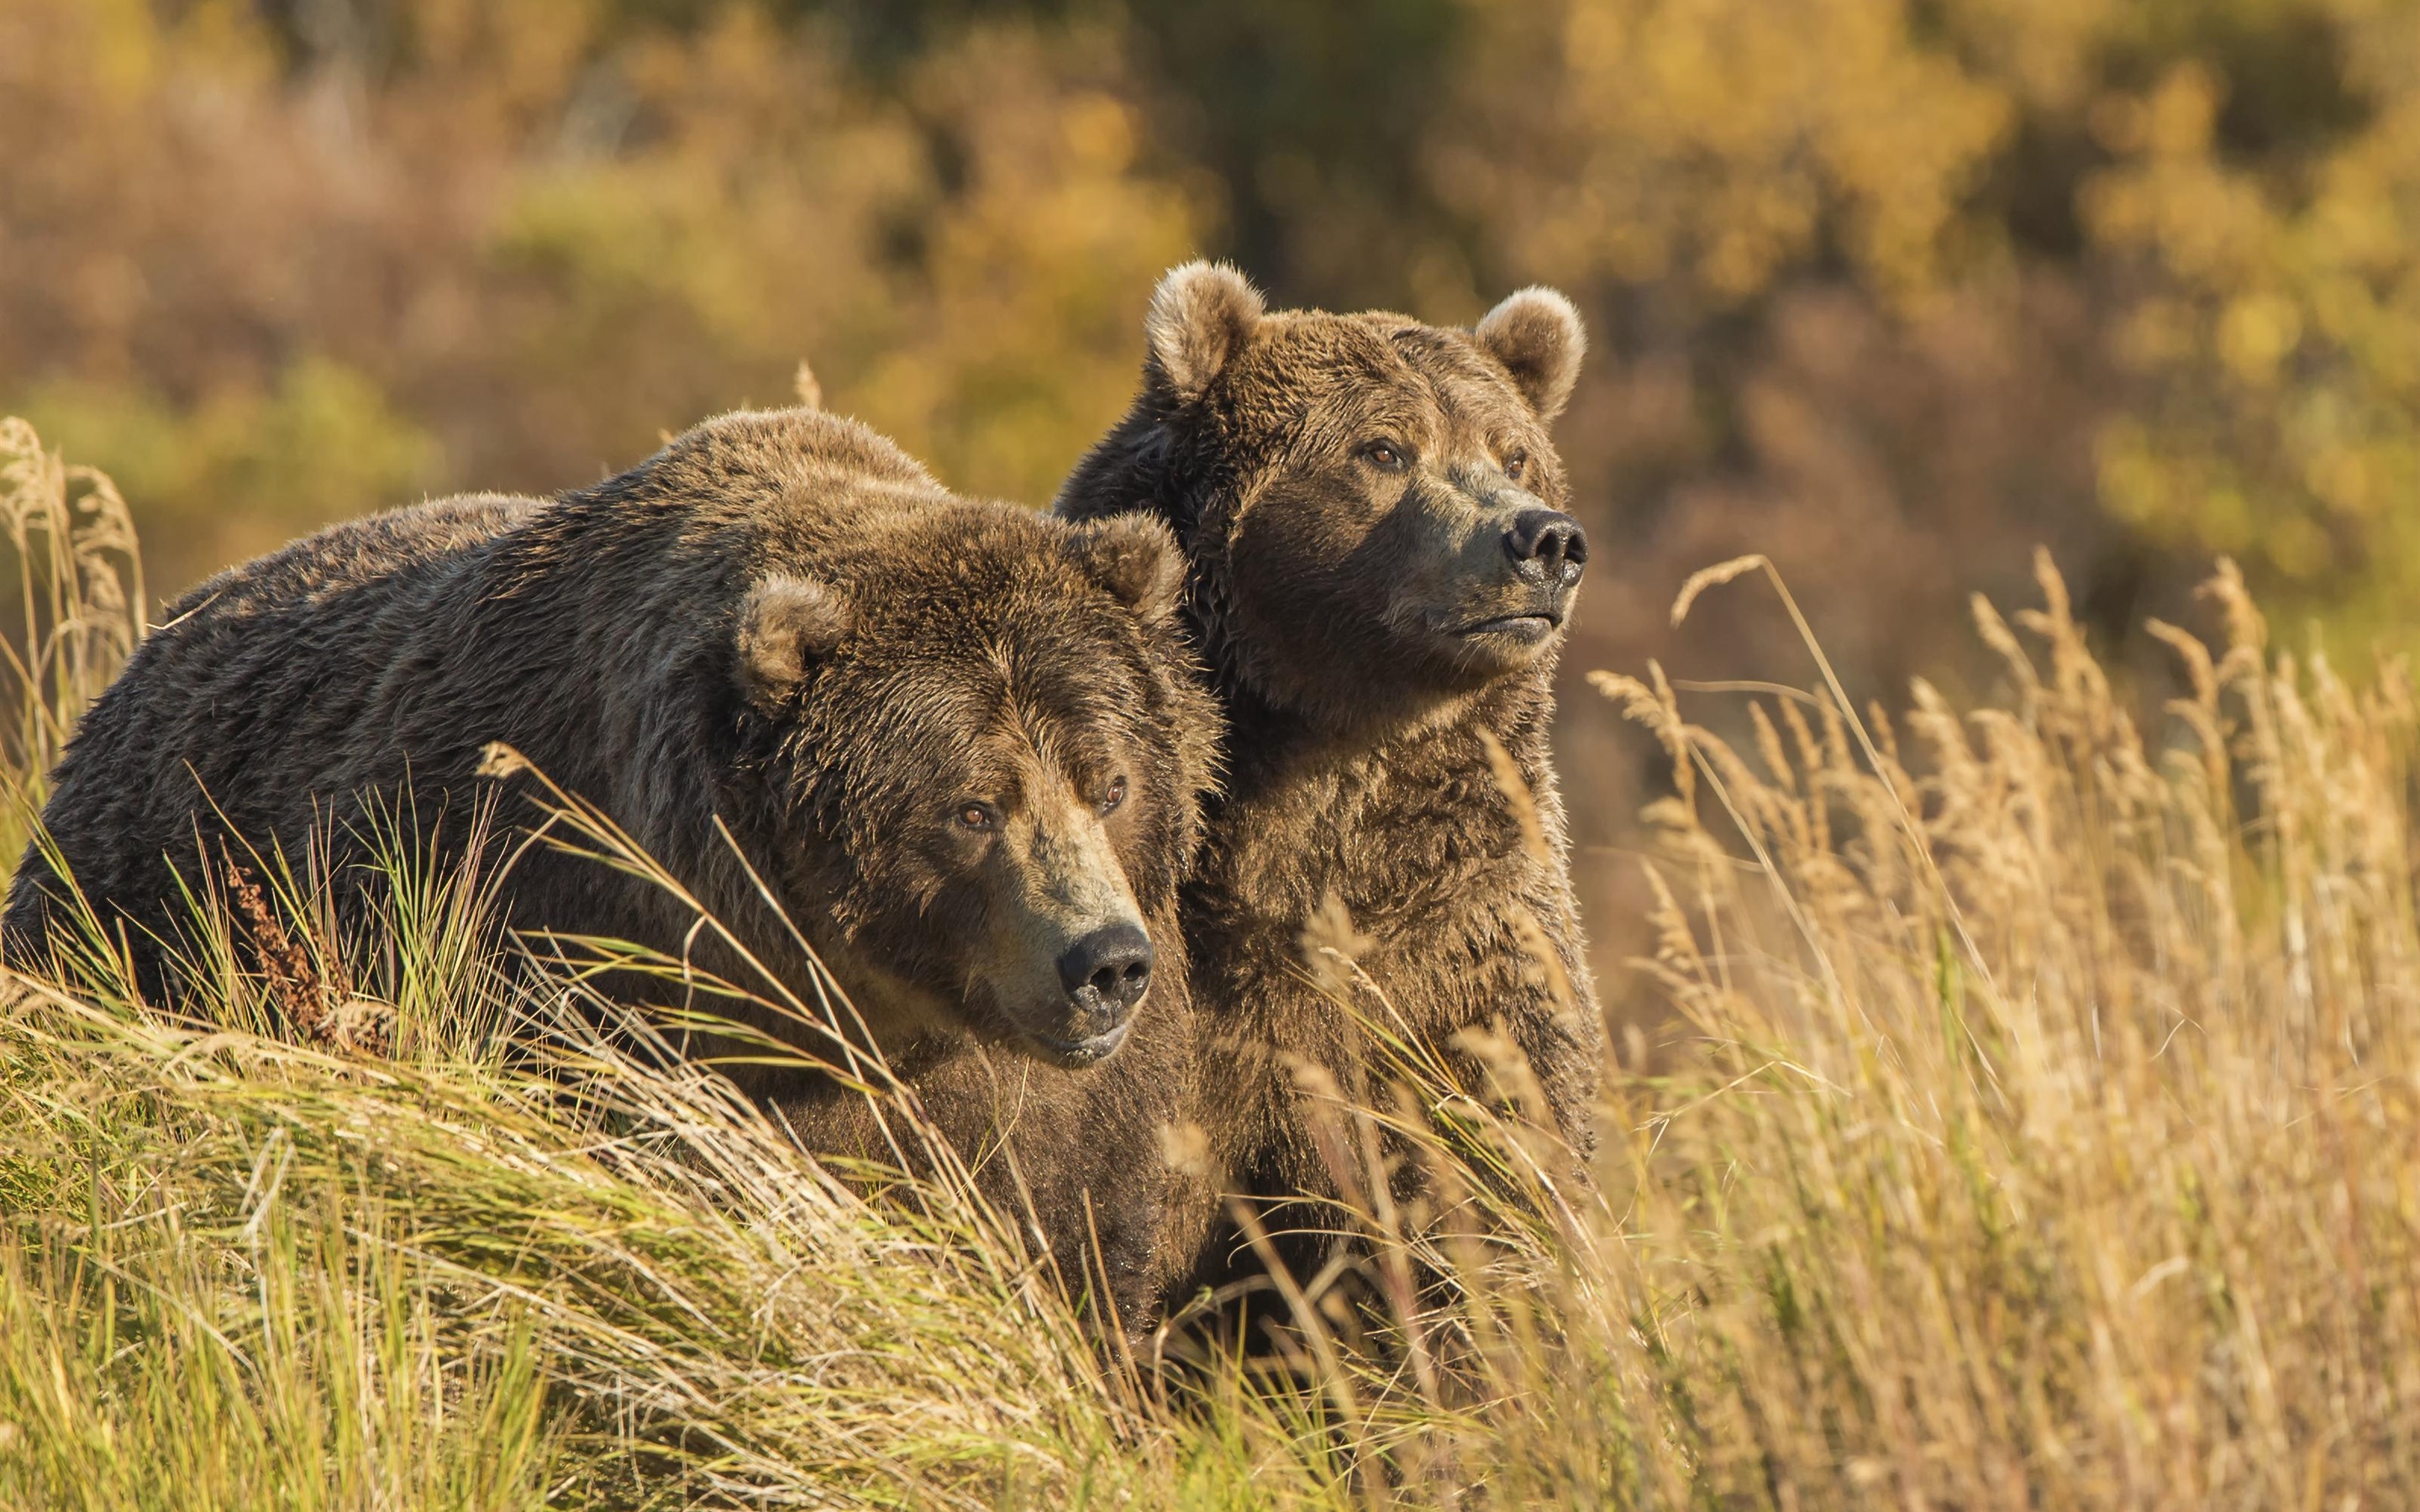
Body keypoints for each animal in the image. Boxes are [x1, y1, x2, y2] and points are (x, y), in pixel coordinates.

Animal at [6, 405, 1222, 1331]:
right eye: (972, 806)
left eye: (1109, 782)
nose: (1103, 963)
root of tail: (155, 638)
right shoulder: (568, 970)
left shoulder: (1080, 1109)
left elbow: (1083, 1245)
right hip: (132, 925)